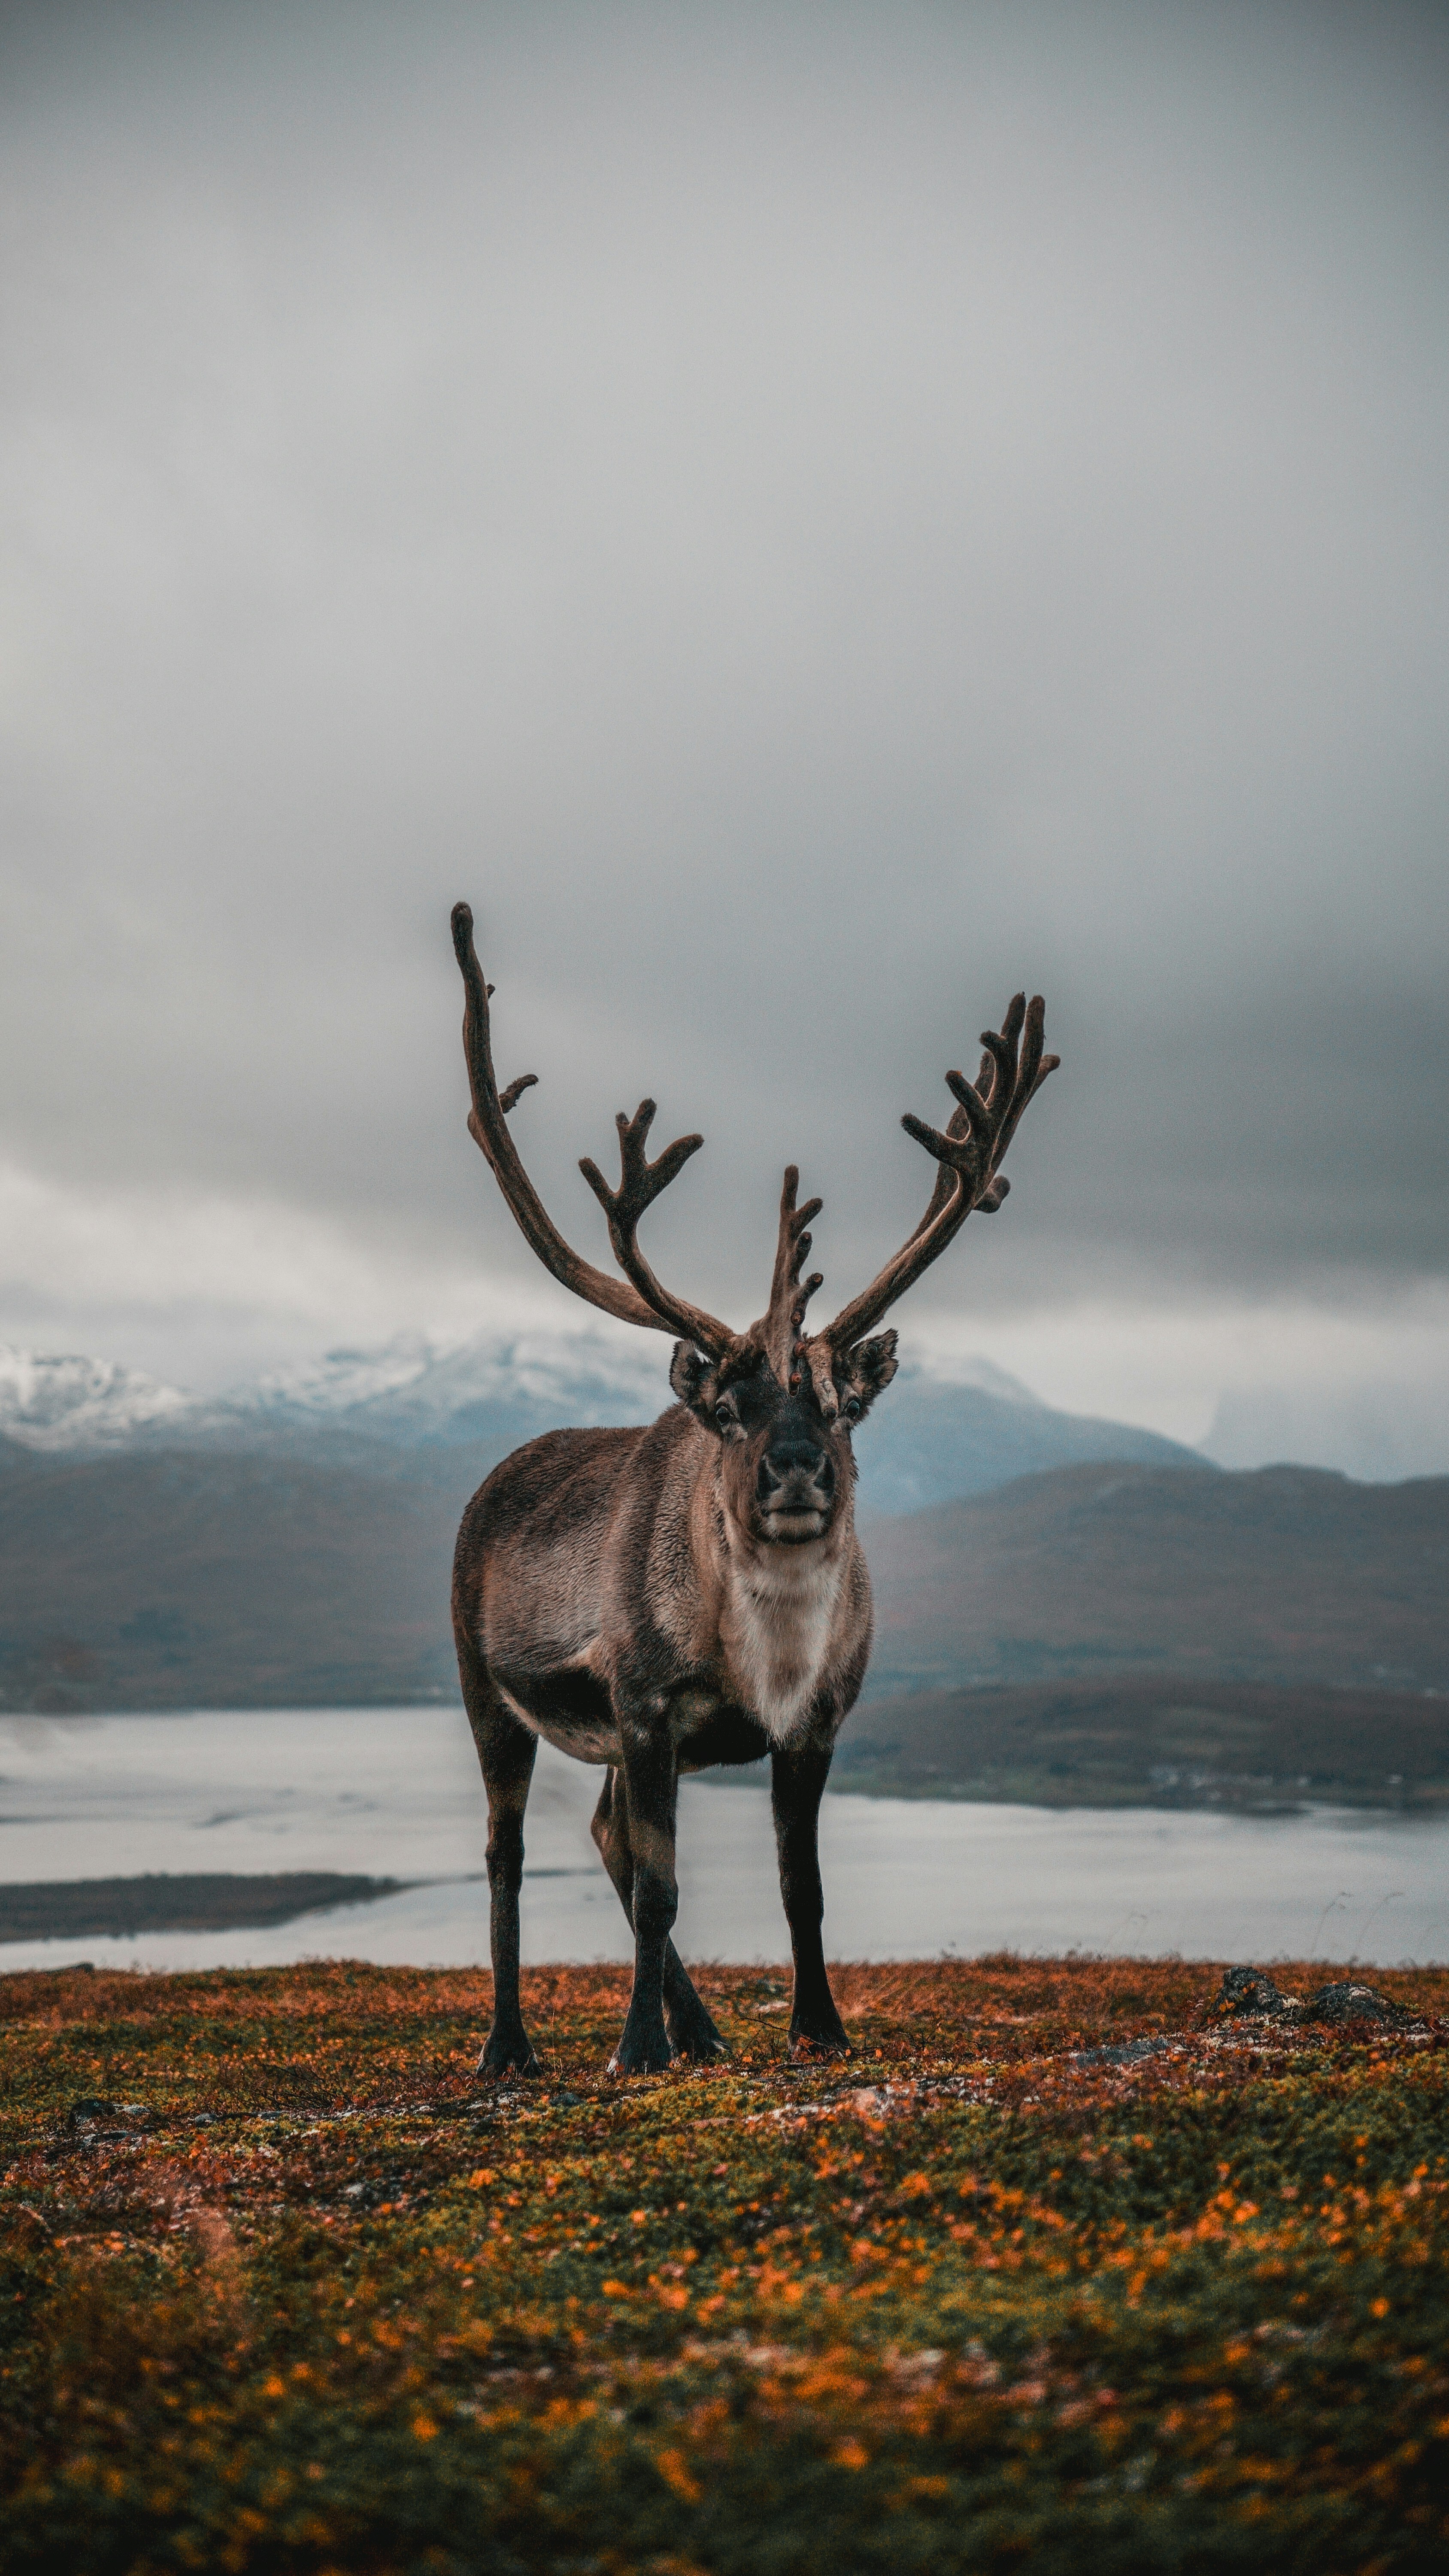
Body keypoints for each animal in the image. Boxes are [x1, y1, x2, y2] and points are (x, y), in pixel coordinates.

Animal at [448, 902, 1057, 2076]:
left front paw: (817, 2027)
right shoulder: (643, 1708)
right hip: (485, 1689)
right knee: (509, 1851)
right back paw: (512, 2045)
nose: (795, 1471)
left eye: (842, 1405)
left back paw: (706, 2034)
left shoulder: (814, 1725)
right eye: (728, 1410)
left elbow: (799, 1889)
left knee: (602, 1833)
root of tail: (490, 1482)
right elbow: (660, 1891)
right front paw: (635, 2047)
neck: (765, 1652)